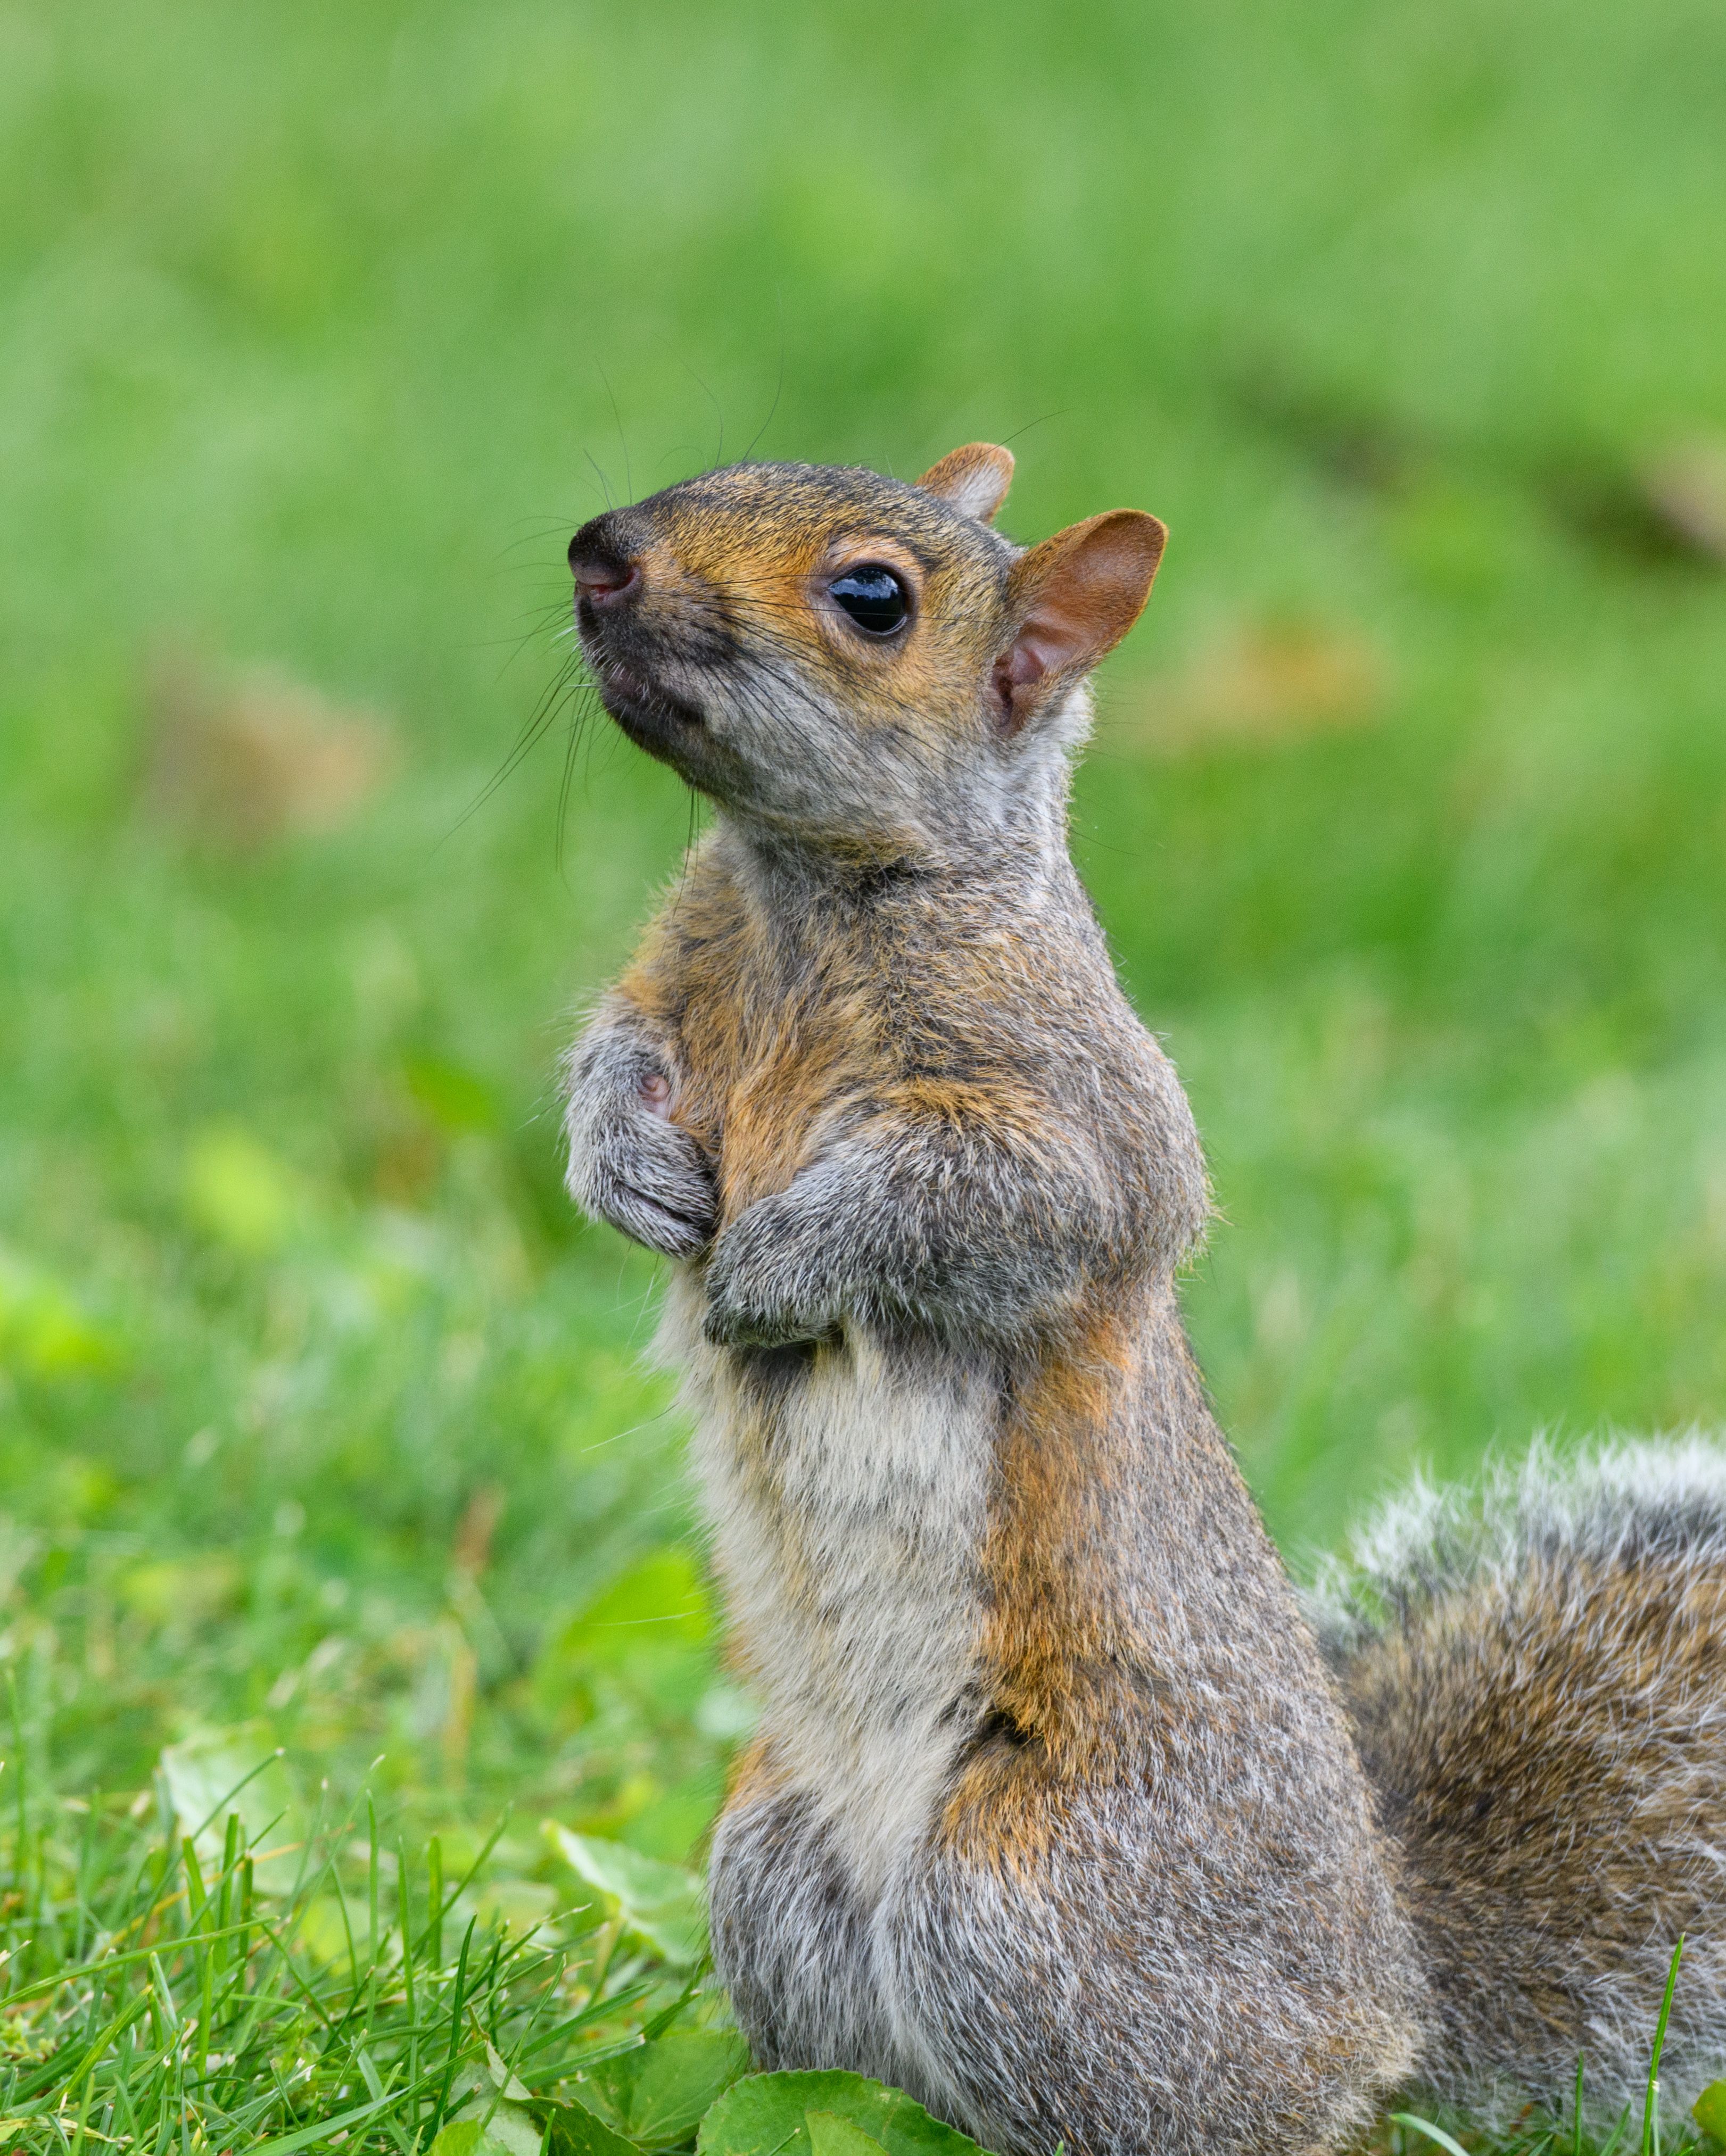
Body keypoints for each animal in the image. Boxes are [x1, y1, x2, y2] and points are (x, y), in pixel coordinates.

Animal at [560, 444, 1726, 2156]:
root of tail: (1393, 2005)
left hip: (1026, 1907)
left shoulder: (1076, 1119)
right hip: (781, 1866)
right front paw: (625, 1168)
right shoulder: (670, 981)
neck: (801, 898)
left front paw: (775, 1265)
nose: (598, 553)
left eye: (872, 596)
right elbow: (616, 1053)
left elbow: (983, 1204)